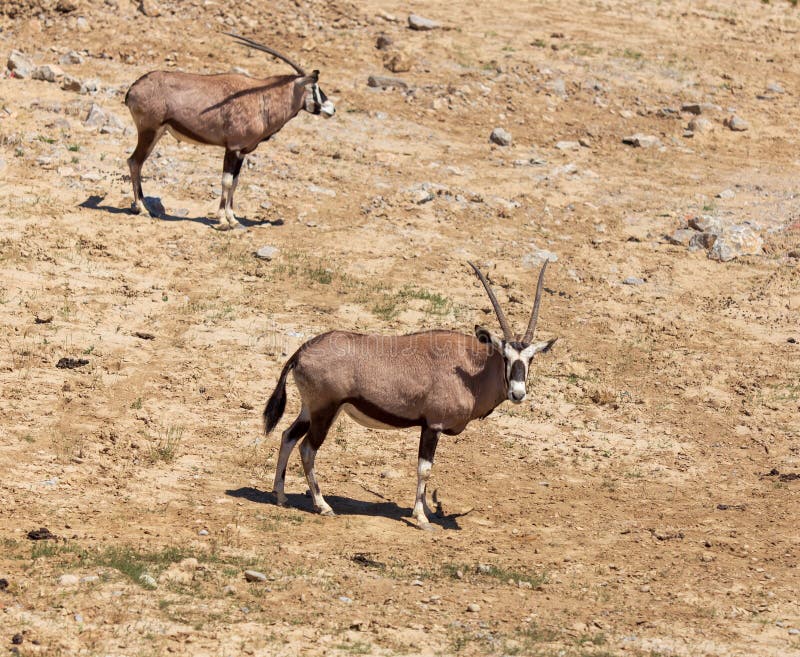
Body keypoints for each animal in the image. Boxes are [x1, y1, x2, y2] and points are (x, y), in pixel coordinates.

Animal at [124, 33, 335, 230]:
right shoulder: (232, 148)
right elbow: (226, 181)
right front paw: (222, 221)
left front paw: (233, 219)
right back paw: (141, 208)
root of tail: (134, 88)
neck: (263, 98)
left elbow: (234, 181)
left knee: (137, 162)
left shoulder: (242, 151)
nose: (331, 109)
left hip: (156, 133)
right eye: (314, 87)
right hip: (149, 131)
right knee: (134, 161)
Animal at [262, 262, 557, 528]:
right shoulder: (432, 426)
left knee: (288, 436)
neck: (471, 370)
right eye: (505, 356)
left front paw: (425, 509)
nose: (518, 393)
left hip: (312, 410)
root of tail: (301, 351)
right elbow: (424, 469)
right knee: (307, 448)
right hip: (325, 410)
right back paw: (323, 505)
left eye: (530, 358)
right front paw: (421, 517)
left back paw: (280, 496)